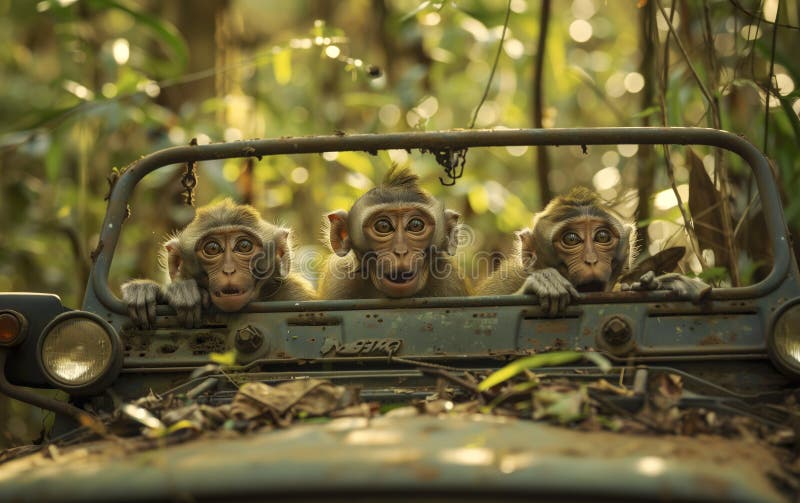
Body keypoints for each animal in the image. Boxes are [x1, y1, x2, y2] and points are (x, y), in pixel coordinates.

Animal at [476, 187, 709, 314]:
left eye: (602, 237)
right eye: (571, 239)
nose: (591, 260)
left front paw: (665, 282)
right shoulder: (506, 281)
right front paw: (543, 283)